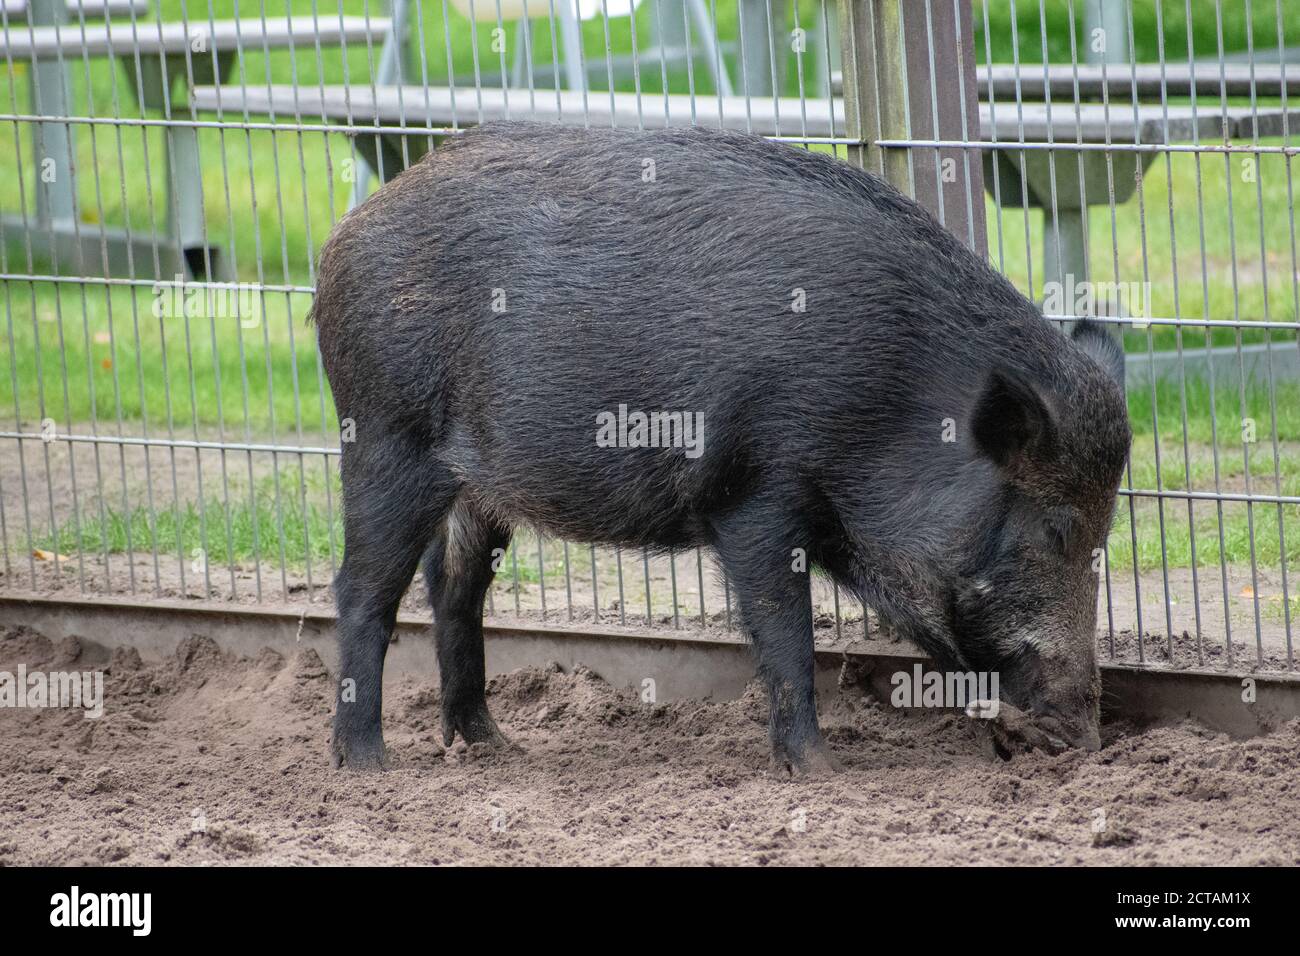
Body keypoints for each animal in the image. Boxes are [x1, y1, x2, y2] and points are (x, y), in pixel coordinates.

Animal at [311, 121, 1131, 775]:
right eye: (1059, 529)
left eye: (1107, 531)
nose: (1086, 740)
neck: (889, 402)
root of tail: (338, 241)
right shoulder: (755, 492)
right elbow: (786, 633)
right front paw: (820, 771)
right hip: (385, 436)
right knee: (362, 591)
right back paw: (368, 764)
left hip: (473, 488)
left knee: (454, 591)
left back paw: (493, 746)